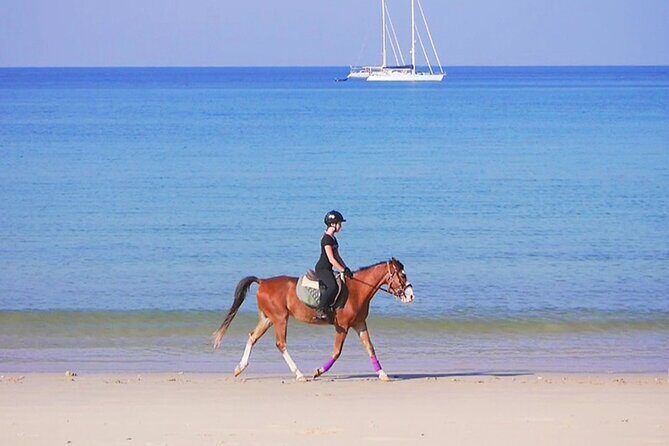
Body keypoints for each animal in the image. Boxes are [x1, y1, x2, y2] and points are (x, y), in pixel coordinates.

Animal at [212, 258, 414, 381]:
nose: (411, 296)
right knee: (280, 344)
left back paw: (239, 368)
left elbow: (370, 348)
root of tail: (263, 282)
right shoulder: (343, 326)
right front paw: (318, 371)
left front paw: (383, 374)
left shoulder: (359, 324)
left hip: (268, 319)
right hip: (280, 318)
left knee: (252, 337)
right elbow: (337, 352)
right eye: (402, 275)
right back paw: (299, 374)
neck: (357, 290)